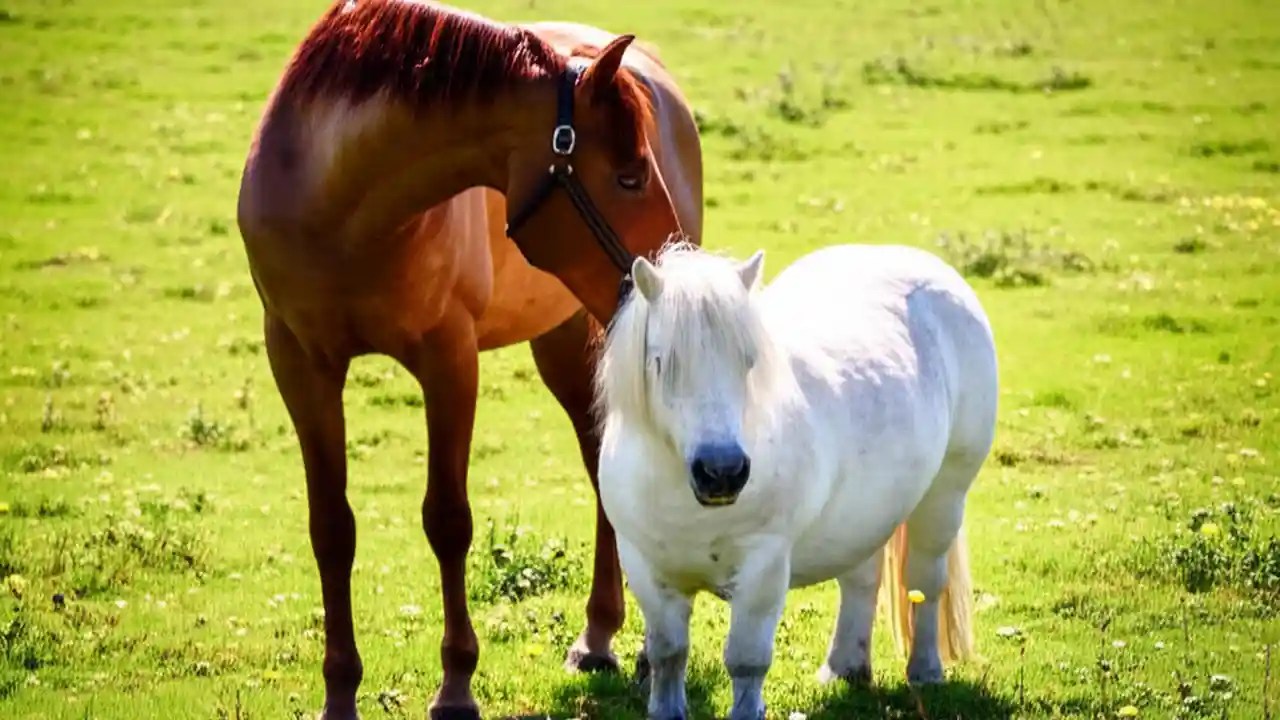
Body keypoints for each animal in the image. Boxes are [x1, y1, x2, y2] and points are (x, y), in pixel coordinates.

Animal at [234, 1, 702, 718]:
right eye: (628, 175)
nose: (671, 277)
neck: (338, 205)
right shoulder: (299, 363)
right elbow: (331, 529)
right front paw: (339, 693)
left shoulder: (449, 361)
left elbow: (447, 520)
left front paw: (455, 687)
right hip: (564, 341)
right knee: (603, 466)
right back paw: (597, 639)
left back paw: (650, 651)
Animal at [593, 241, 999, 720]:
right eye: (661, 363)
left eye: (749, 361)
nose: (722, 472)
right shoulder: (645, 567)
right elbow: (668, 652)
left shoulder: (763, 567)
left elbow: (746, 659)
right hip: (863, 515)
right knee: (861, 581)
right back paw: (844, 669)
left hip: (943, 498)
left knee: (924, 583)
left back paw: (926, 670)